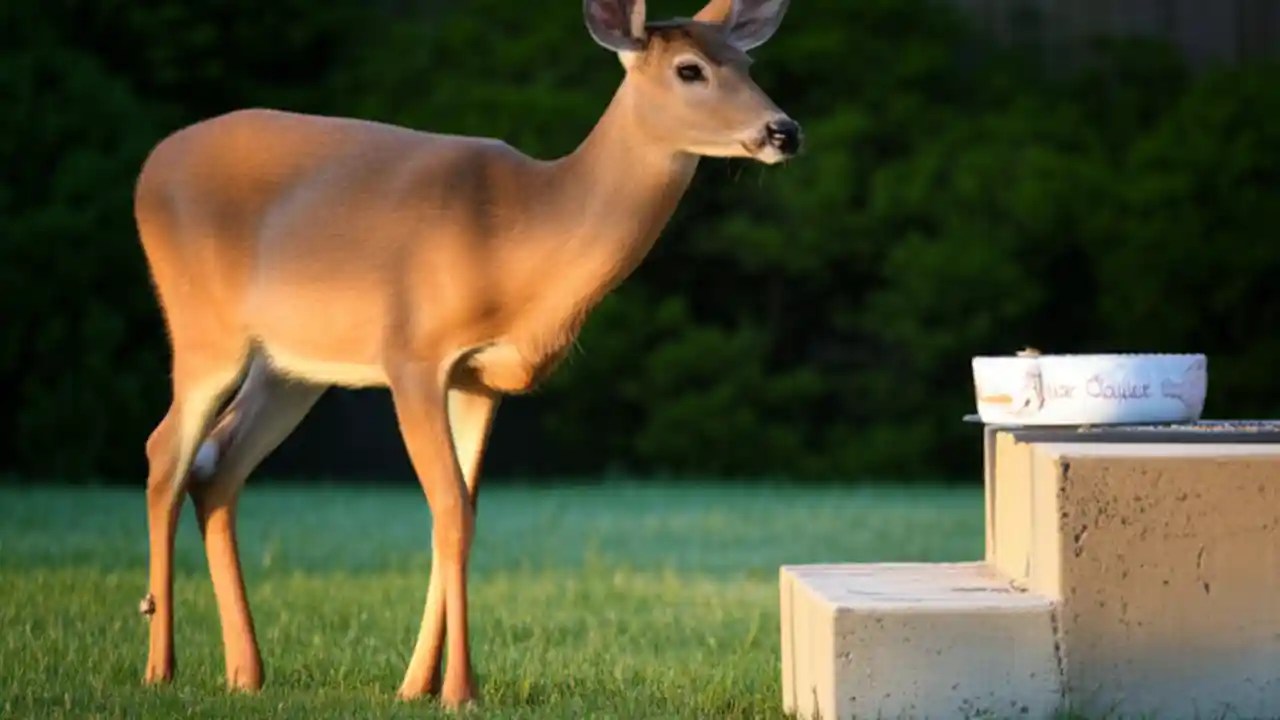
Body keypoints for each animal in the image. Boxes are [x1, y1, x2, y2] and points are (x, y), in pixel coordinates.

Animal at [132, 0, 799, 708]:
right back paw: (161, 665)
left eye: (748, 63)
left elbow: (461, 515)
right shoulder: (413, 355)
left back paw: (246, 672)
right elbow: (450, 511)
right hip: (204, 326)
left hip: (289, 366)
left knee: (219, 464)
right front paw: (457, 689)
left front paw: (416, 685)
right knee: (166, 451)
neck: (521, 245)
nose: (784, 131)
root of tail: (150, 166)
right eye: (690, 68)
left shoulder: (479, 380)